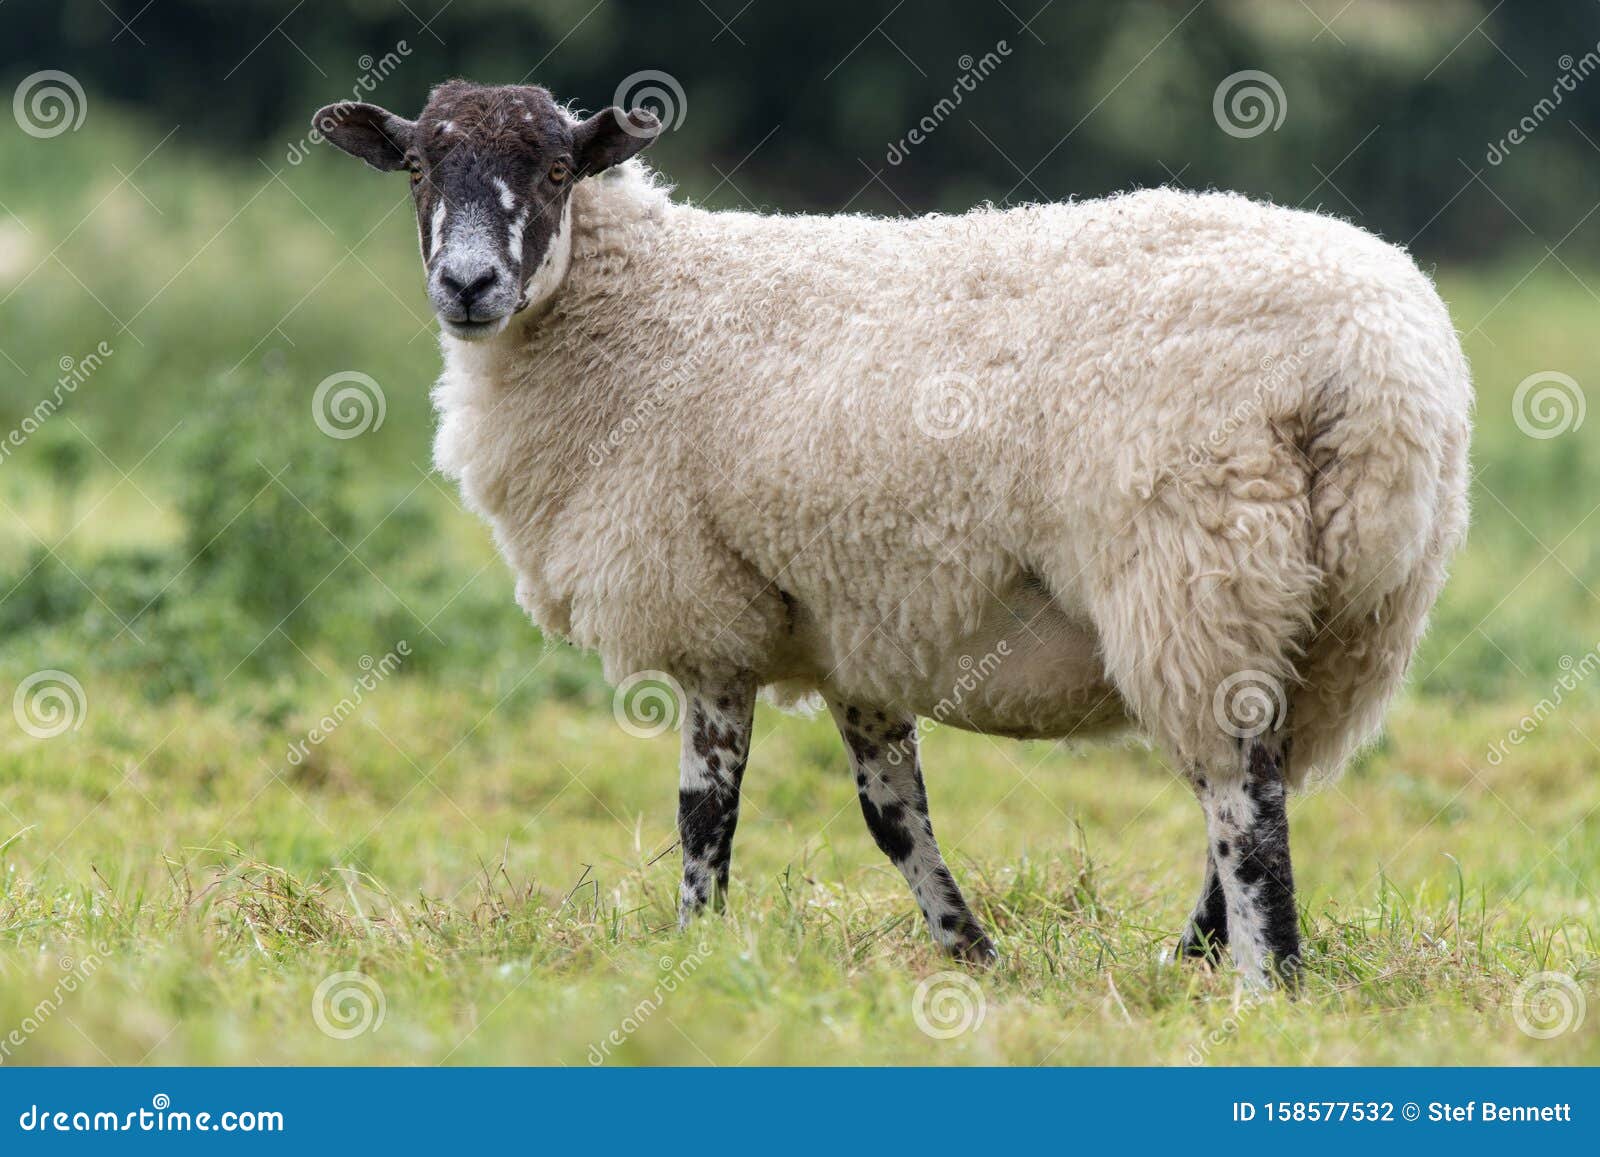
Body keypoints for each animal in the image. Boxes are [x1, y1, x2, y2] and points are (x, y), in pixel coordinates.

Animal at [314, 79, 1472, 985]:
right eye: (415, 167)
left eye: (558, 170)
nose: (468, 285)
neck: (640, 313)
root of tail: (1374, 364)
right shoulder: (853, 627)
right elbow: (892, 814)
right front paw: (972, 952)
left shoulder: (707, 610)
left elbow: (706, 809)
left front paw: (695, 948)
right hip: (1347, 606)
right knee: (1265, 779)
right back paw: (1188, 957)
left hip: (1196, 567)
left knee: (1244, 802)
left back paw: (1263, 982)